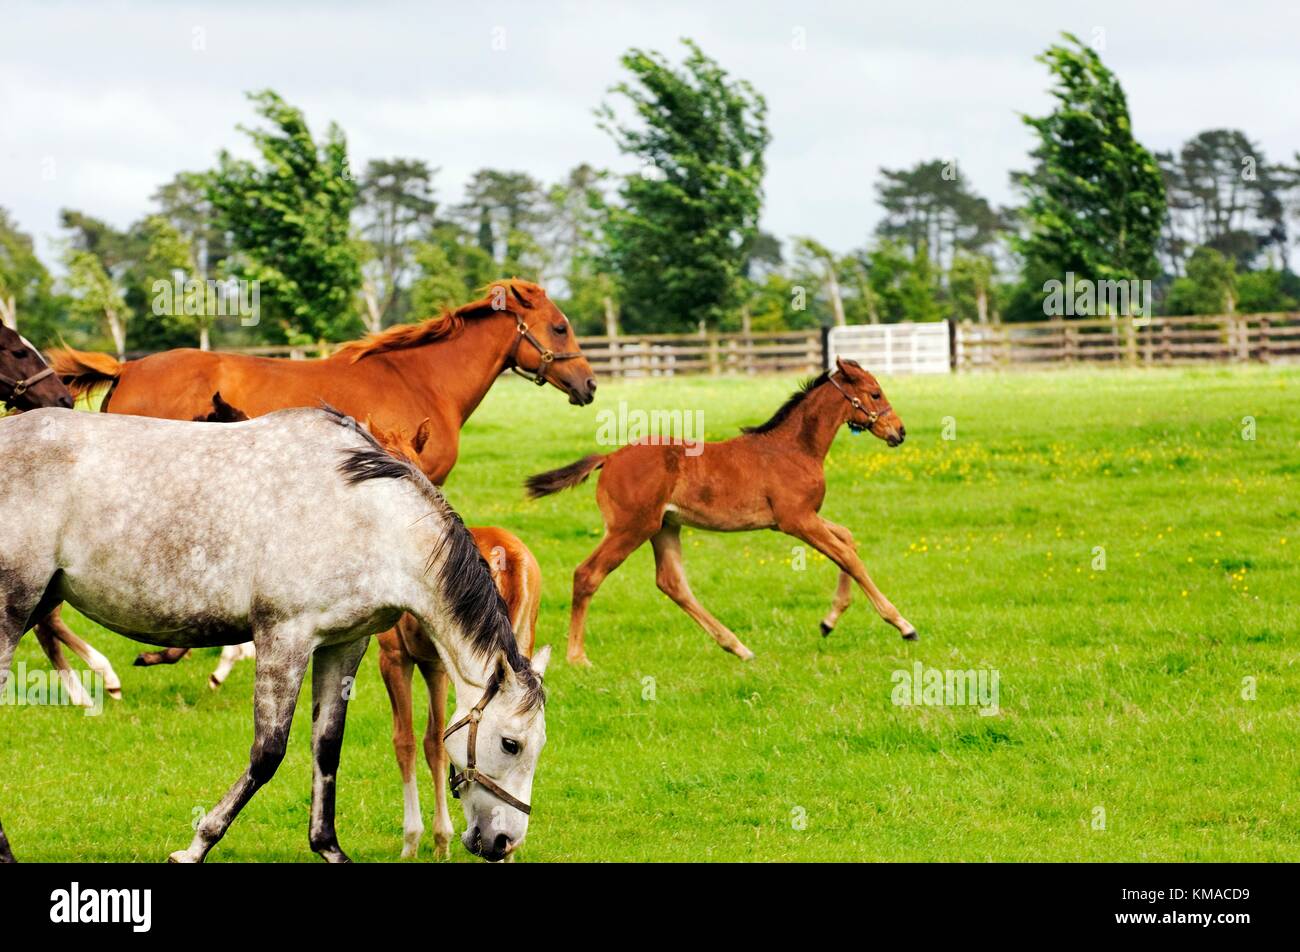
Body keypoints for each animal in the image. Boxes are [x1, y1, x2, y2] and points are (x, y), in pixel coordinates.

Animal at [0, 406, 551, 864]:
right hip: (14, 608)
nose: (504, 842)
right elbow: (268, 752)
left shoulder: (343, 645)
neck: (367, 519)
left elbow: (326, 748)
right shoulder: (284, 639)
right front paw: (196, 846)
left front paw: (328, 847)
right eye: (510, 744)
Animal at [525, 358, 917, 666]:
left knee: (672, 582)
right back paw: (577, 657)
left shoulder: (797, 519)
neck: (794, 448)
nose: (899, 431)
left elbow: (847, 540)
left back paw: (738, 648)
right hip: (630, 529)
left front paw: (829, 621)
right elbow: (848, 557)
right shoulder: (797, 520)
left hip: (664, 527)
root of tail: (609, 458)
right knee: (587, 574)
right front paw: (903, 625)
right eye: (876, 393)